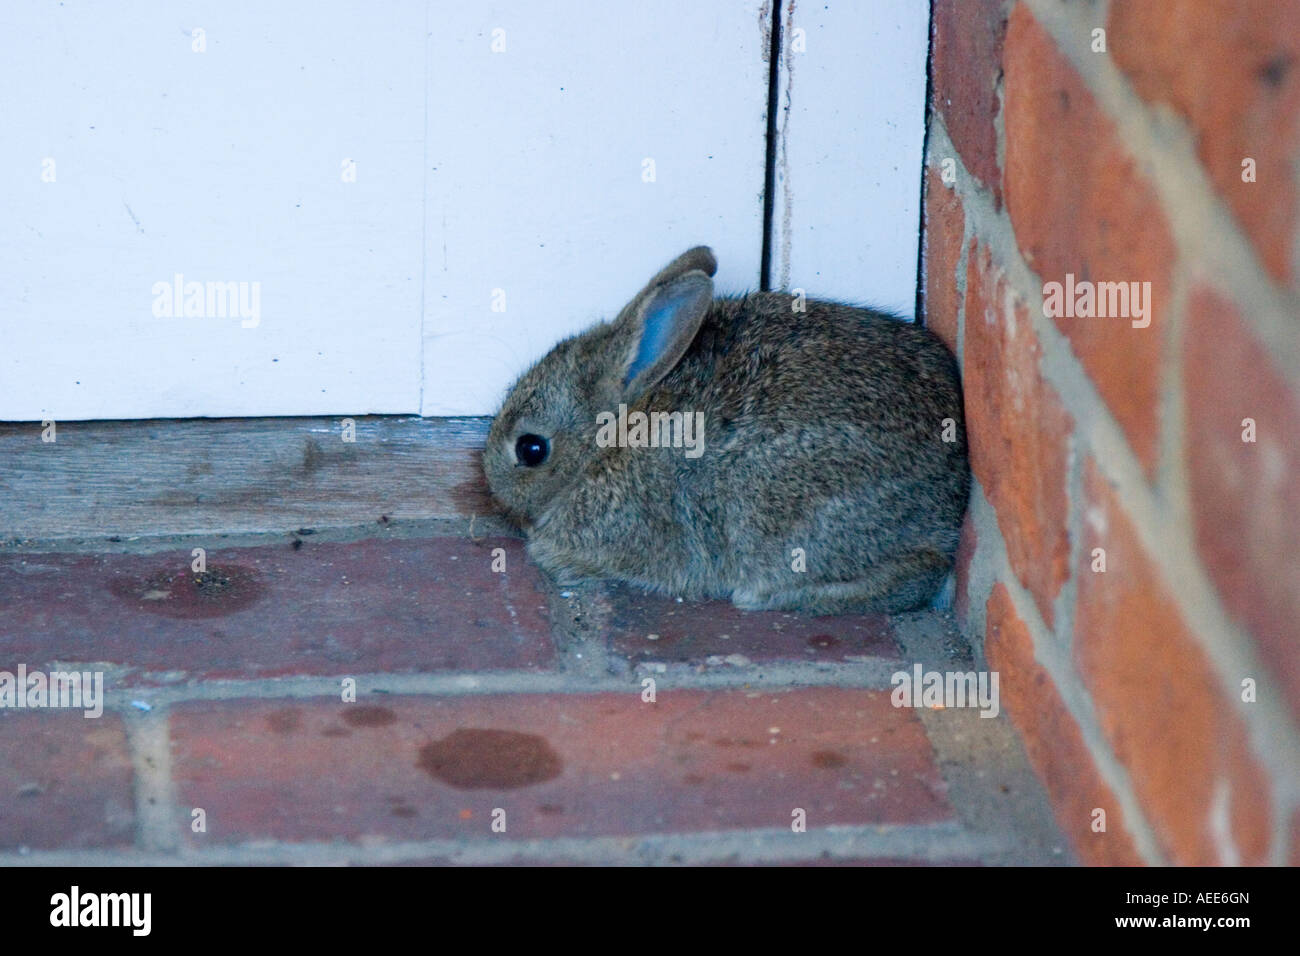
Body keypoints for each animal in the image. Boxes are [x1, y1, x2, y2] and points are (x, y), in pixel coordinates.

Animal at [482, 246, 970, 615]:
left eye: (530, 449)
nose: (490, 482)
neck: (612, 439)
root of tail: (956, 481)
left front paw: (548, 554)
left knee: (918, 574)